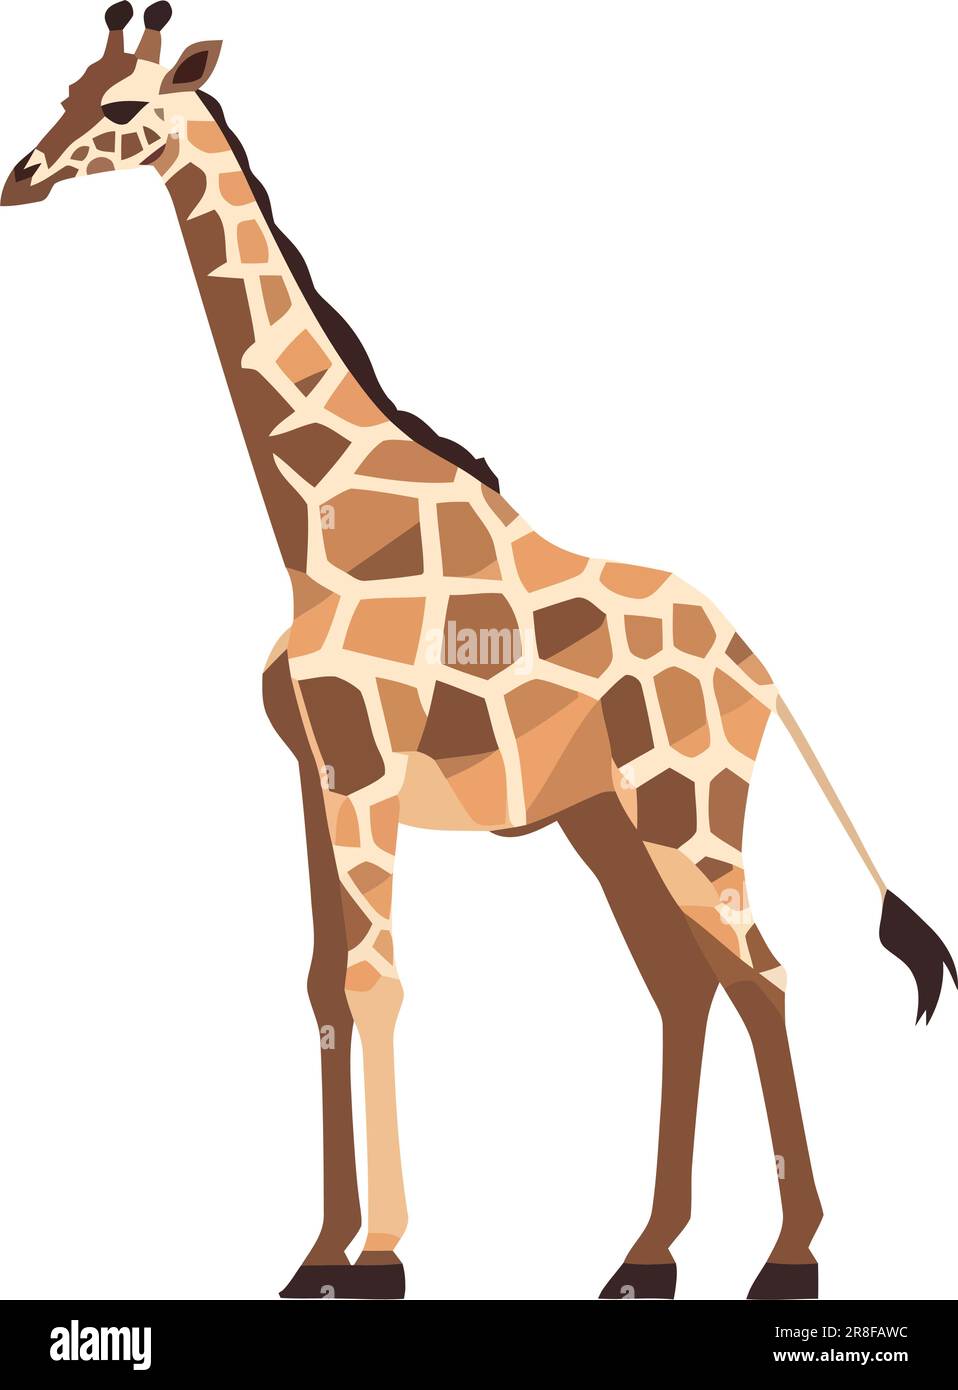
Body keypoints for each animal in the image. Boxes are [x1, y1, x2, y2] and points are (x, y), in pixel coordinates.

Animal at [3, 6, 955, 1302]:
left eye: (117, 107)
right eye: (66, 84)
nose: (20, 178)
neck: (316, 520)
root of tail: (762, 670)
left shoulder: (368, 770)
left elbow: (375, 980)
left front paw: (383, 1254)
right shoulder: (317, 772)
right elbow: (322, 983)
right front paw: (316, 1252)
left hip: (688, 807)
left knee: (762, 972)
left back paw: (791, 1255)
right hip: (607, 822)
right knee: (683, 985)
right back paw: (644, 1254)